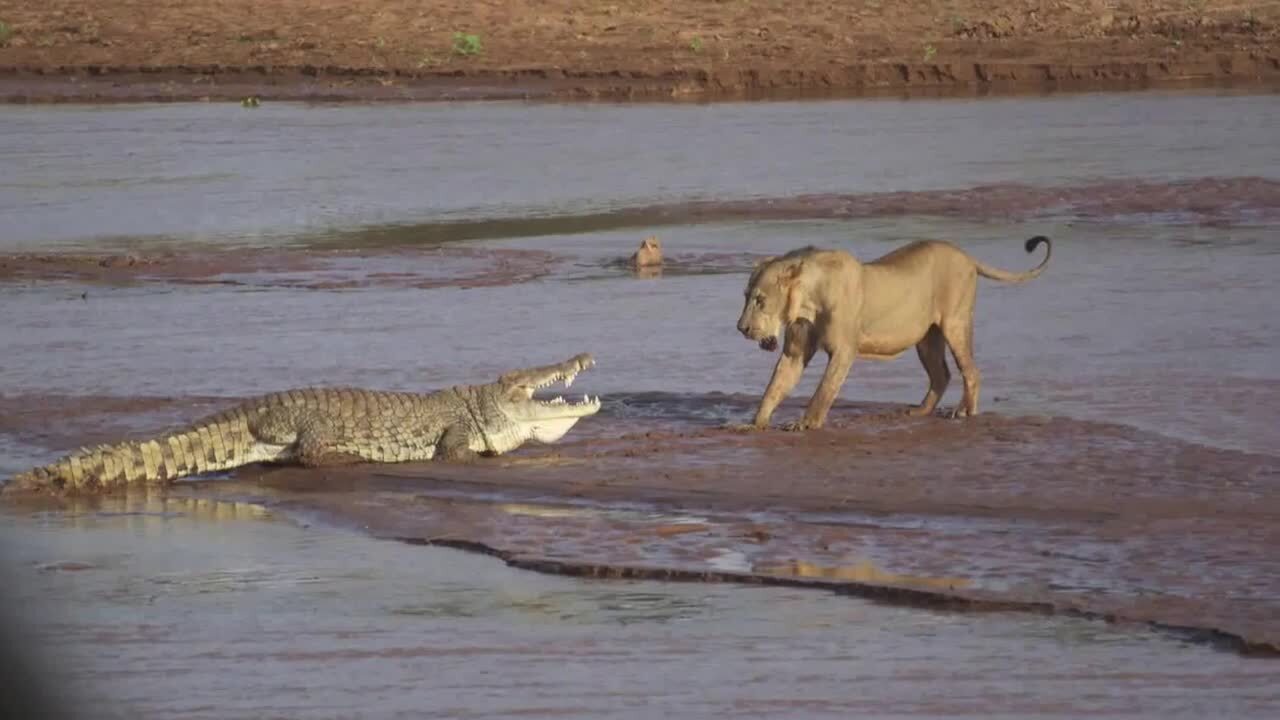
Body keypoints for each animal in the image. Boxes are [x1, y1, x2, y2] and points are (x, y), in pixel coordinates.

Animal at [734, 236, 1052, 430]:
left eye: (760, 300)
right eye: (746, 296)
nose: (741, 328)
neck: (806, 301)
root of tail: (966, 255)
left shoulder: (843, 350)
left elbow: (824, 390)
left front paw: (806, 424)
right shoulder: (795, 351)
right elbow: (775, 386)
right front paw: (754, 423)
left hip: (955, 323)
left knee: (971, 371)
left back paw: (964, 412)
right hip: (927, 338)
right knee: (942, 374)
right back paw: (920, 412)